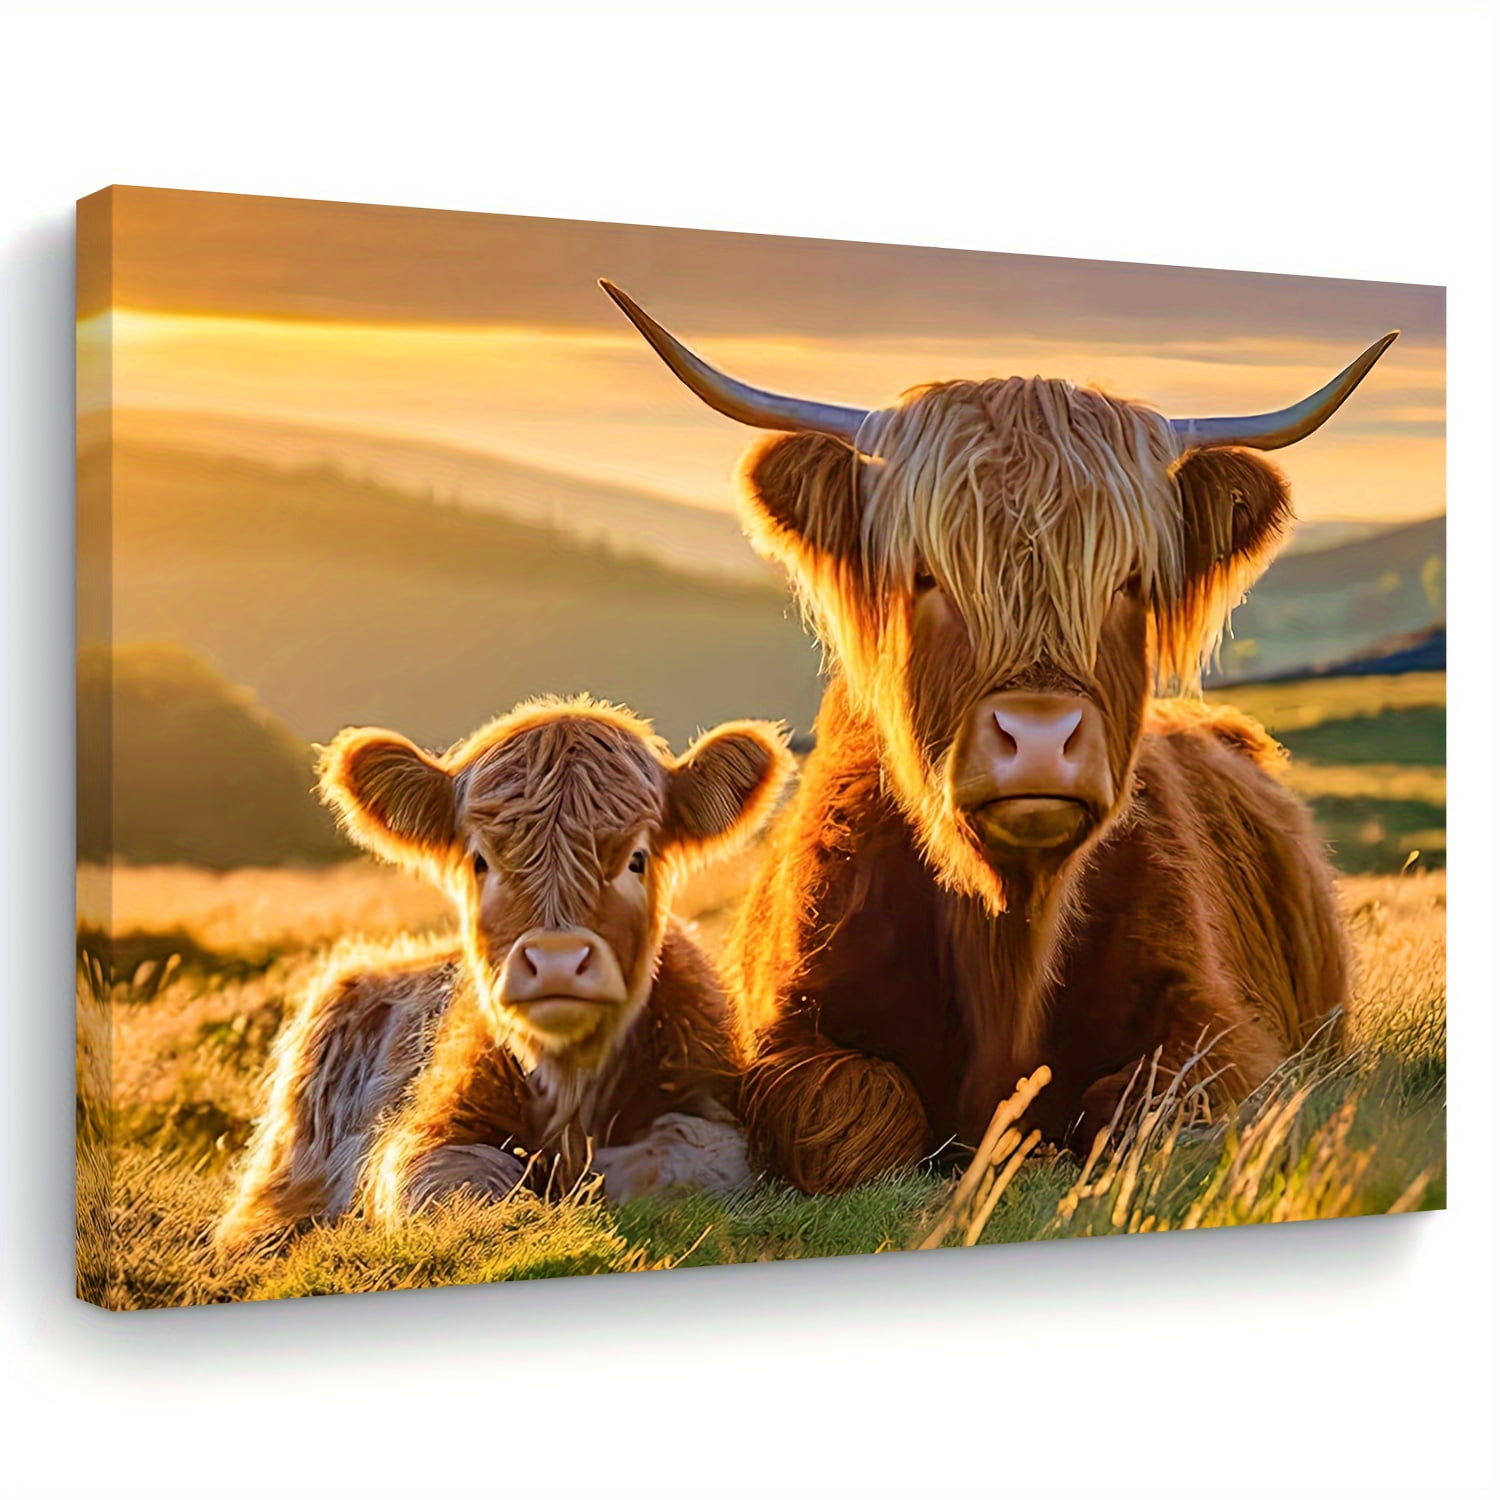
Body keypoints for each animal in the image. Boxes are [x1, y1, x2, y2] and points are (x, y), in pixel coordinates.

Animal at [215, 696, 793, 1247]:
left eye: (637, 859)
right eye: (480, 861)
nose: (557, 962)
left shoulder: (717, 1111)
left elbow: (682, 1158)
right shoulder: (425, 1138)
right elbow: (460, 1185)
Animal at [602, 279, 1396, 1193]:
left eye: (1128, 581)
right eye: (926, 575)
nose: (1041, 738)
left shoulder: (1220, 1030)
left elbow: (1147, 1111)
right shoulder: (789, 1036)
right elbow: (855, 1117)